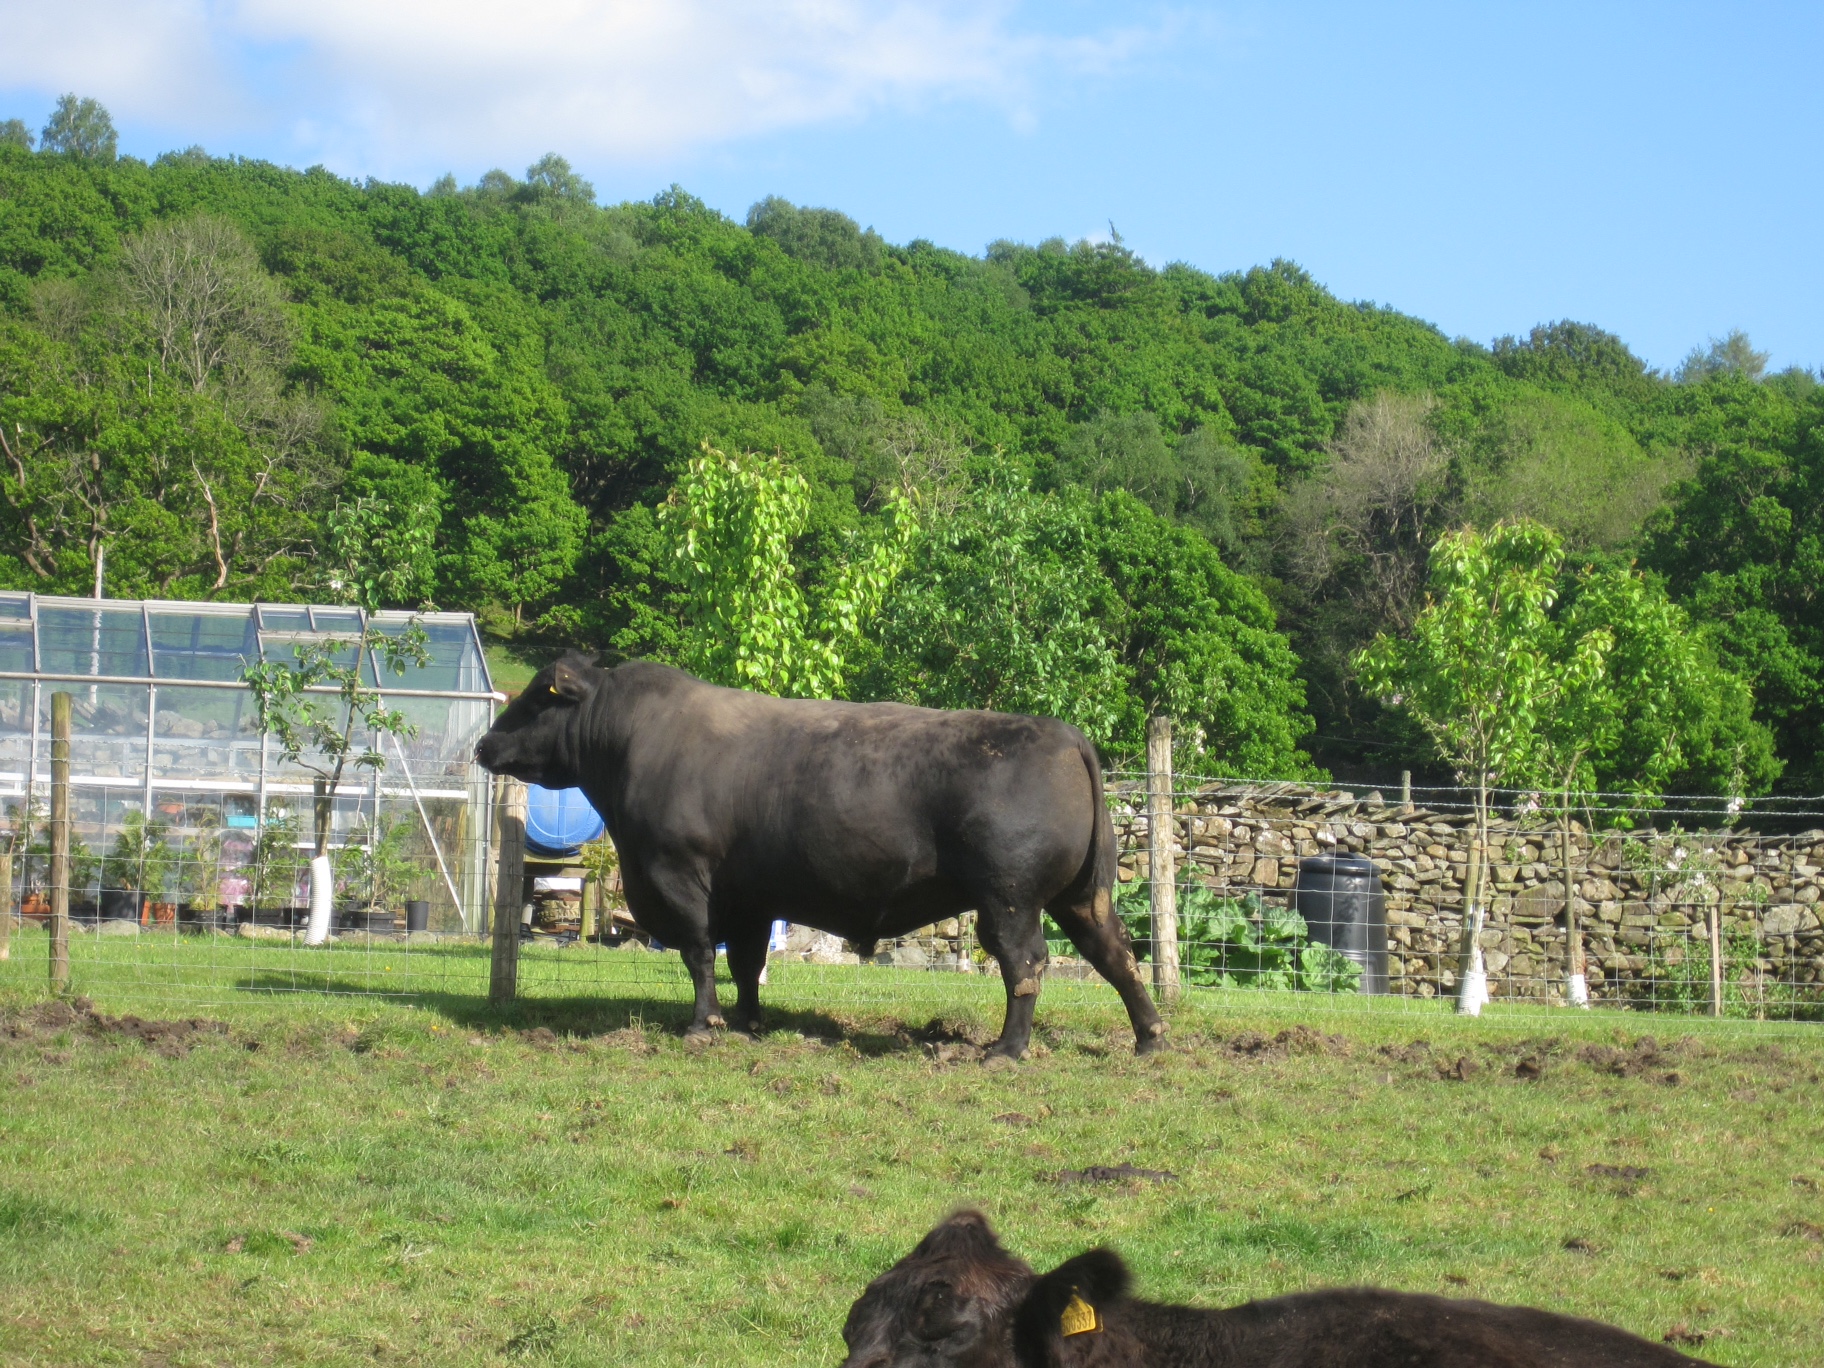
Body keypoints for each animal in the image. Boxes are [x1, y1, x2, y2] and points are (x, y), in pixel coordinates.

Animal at [474, 655, 1165, 1059]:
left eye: (538, 697)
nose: (483, 744)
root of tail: (1062, 733)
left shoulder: (679, 876)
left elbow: (699, 954)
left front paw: (704, 1026)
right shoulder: (748, 898)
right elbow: (746, 963)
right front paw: (748, 1023)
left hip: (1010, 900)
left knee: (1025, 965)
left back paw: (1004, 1051)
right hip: (1081, 897)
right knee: (1118, 955)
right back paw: (1149, 1039)